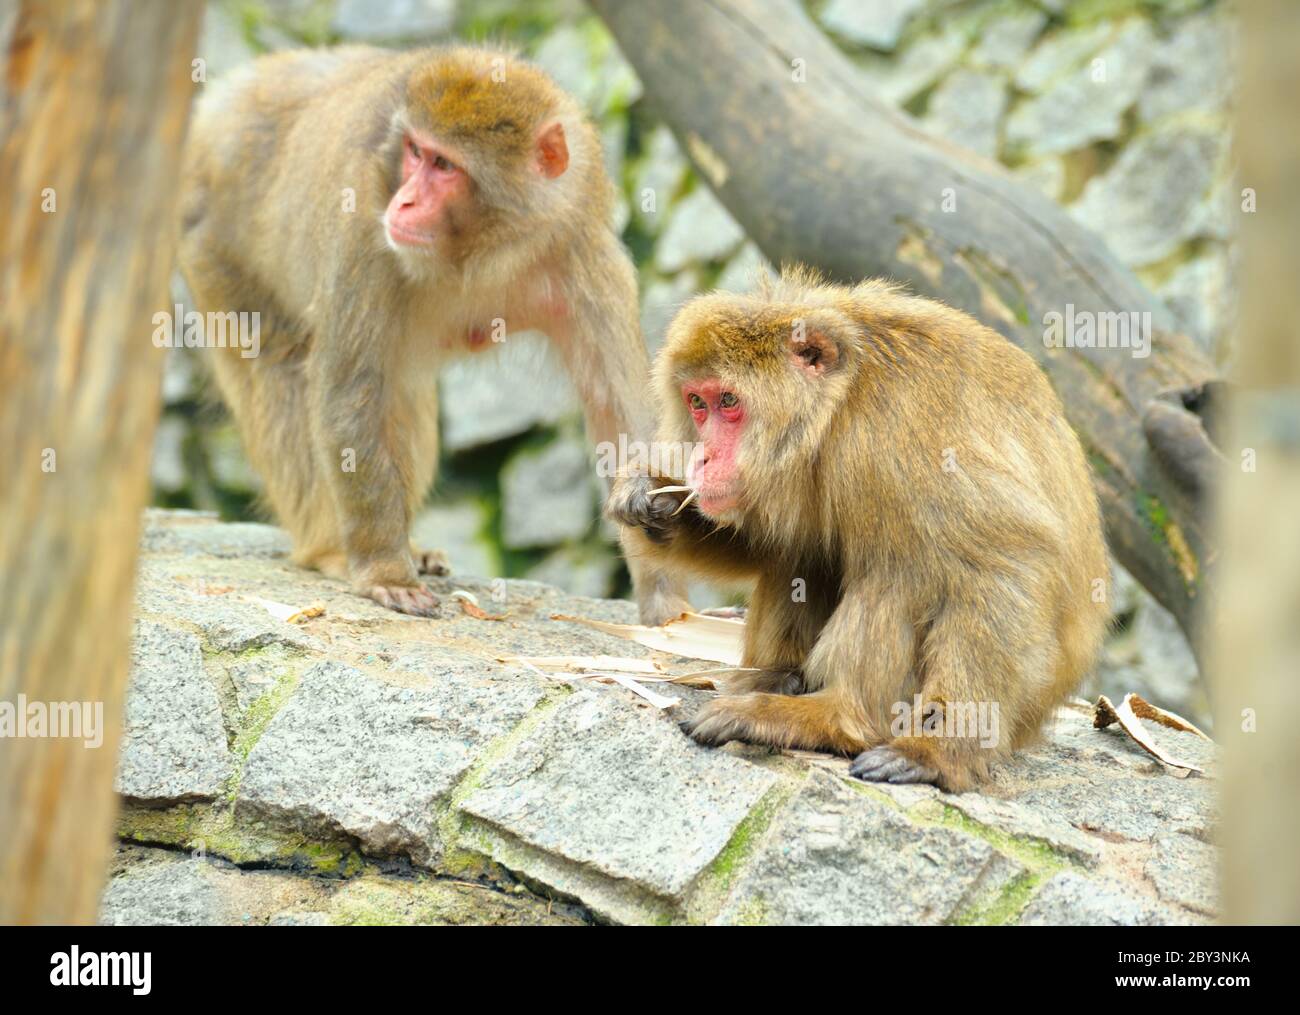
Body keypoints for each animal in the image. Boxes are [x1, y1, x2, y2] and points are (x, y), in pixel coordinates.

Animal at [177, 45, 689, 622]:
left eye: (444, 165)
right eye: (415, 153)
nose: (402, 203)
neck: (484, 251)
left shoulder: (587, 254)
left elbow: (621, 411)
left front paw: (669, 604)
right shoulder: (365, 231)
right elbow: (347, 396)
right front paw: (384, 571)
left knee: (405, 400)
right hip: (212, 241)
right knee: (283, 367)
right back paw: (333, 548)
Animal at [606, 267, 1110, 791]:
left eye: (728, 400)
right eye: (697, 403)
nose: (702, 458)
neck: (841, 406)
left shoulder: (904, 433)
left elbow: (1002, 562)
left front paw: (939, 751)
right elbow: (770, 543)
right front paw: (651, 499)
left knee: (901, 572)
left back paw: (831, 719)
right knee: (807, 552)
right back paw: (780, 678)